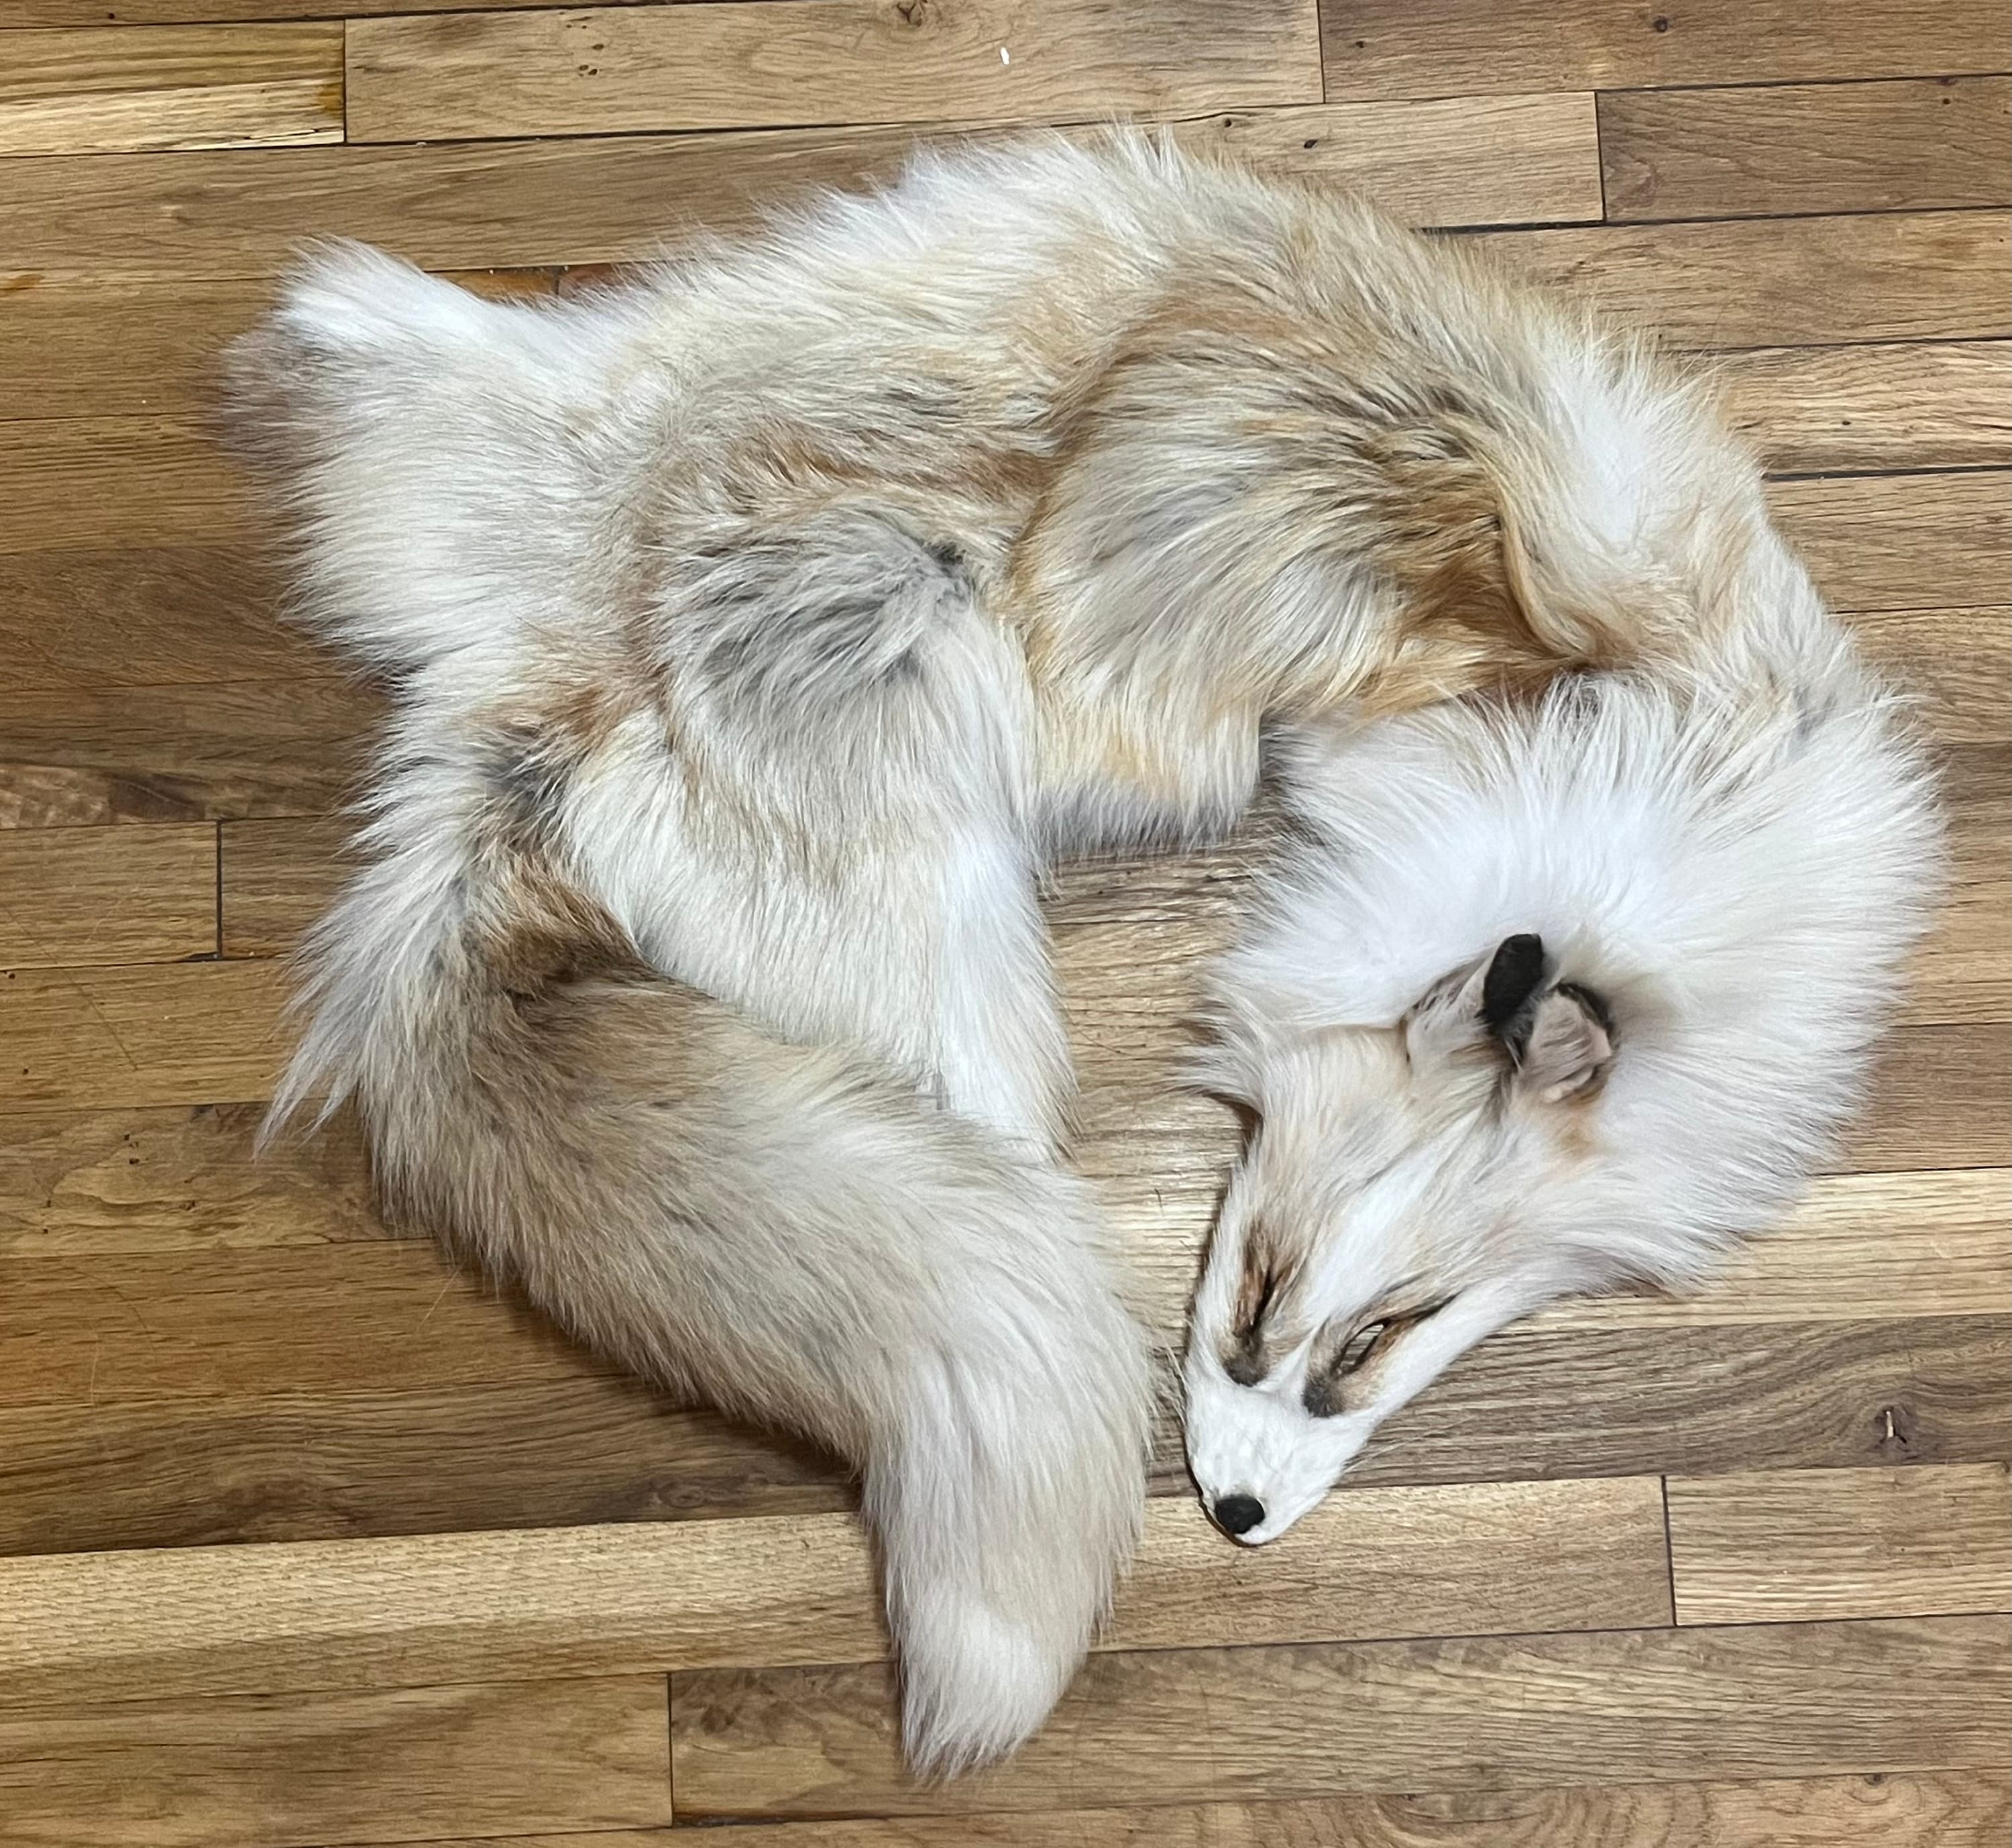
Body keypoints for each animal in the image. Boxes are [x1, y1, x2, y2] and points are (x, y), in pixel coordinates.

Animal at [221, 129, 1932, 1766]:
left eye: (1383, 1337)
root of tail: (527, 710)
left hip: (512, 368)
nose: (1233, 1521)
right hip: (964, 1001)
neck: (1681, 781)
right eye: (1257, 1291)